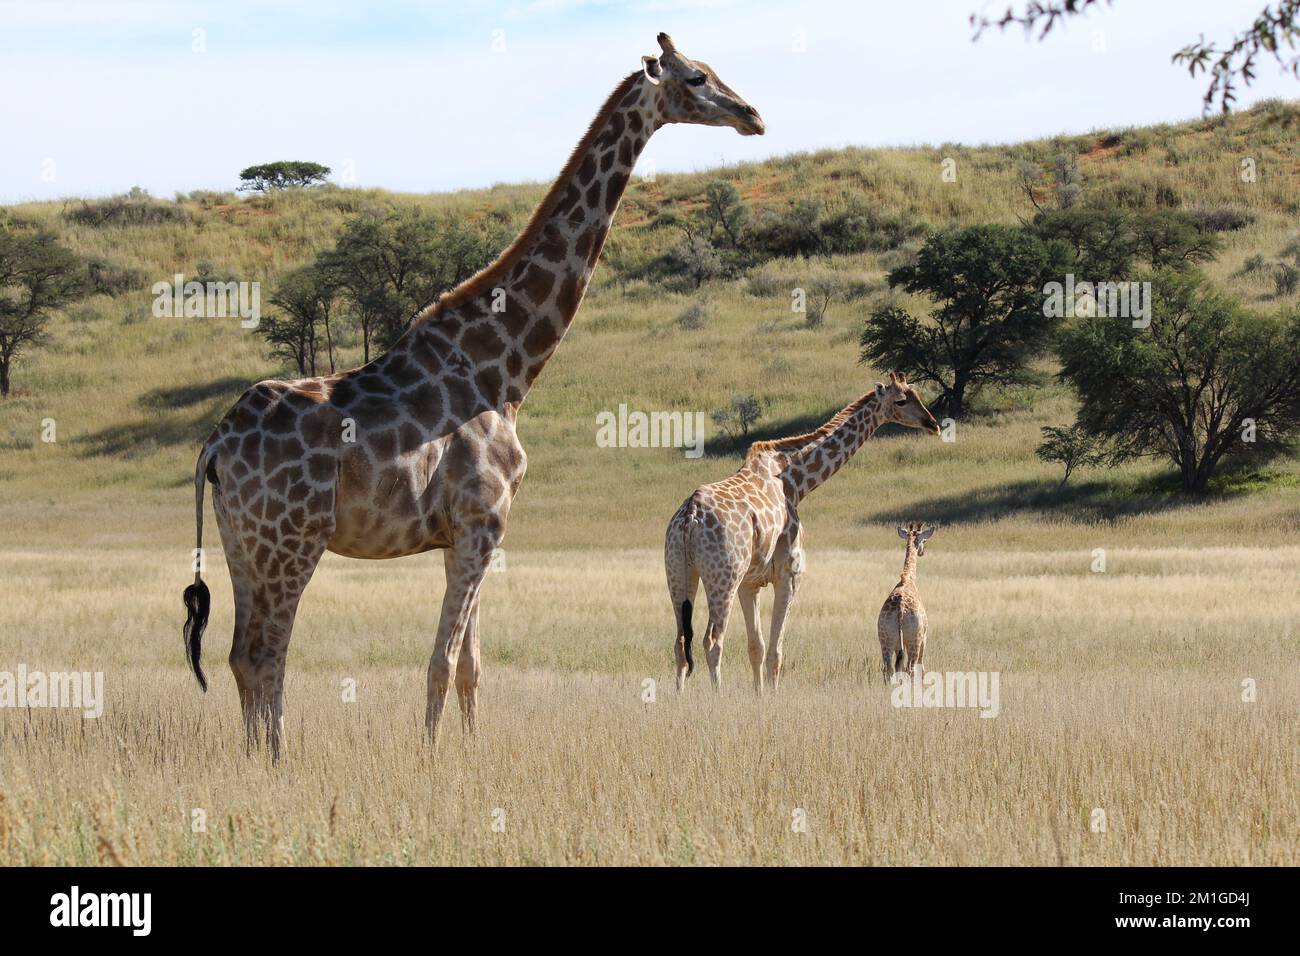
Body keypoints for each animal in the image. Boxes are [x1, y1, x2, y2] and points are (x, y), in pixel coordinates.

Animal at [179, 33, 764, 759]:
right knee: (265, 653)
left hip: (243, 540)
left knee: (239, 655)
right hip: (291, 539)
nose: (751, 115)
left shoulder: (468, 531)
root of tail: (215, 447)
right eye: (697, 77)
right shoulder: (484, 519)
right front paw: (430, 759)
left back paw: (259, 758)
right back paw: (280, 763)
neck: (506, 366)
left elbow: (471, 665)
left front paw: (469, 750)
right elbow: (441, 661)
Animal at [877, 522, 934, 685]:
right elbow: (922, 666)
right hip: (914, 639)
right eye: (924, 540)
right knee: (912, 667)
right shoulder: (925, 637)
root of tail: (900, 610)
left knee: (888, 668)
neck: (908, 579)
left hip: (886, 639)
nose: (922, 552)